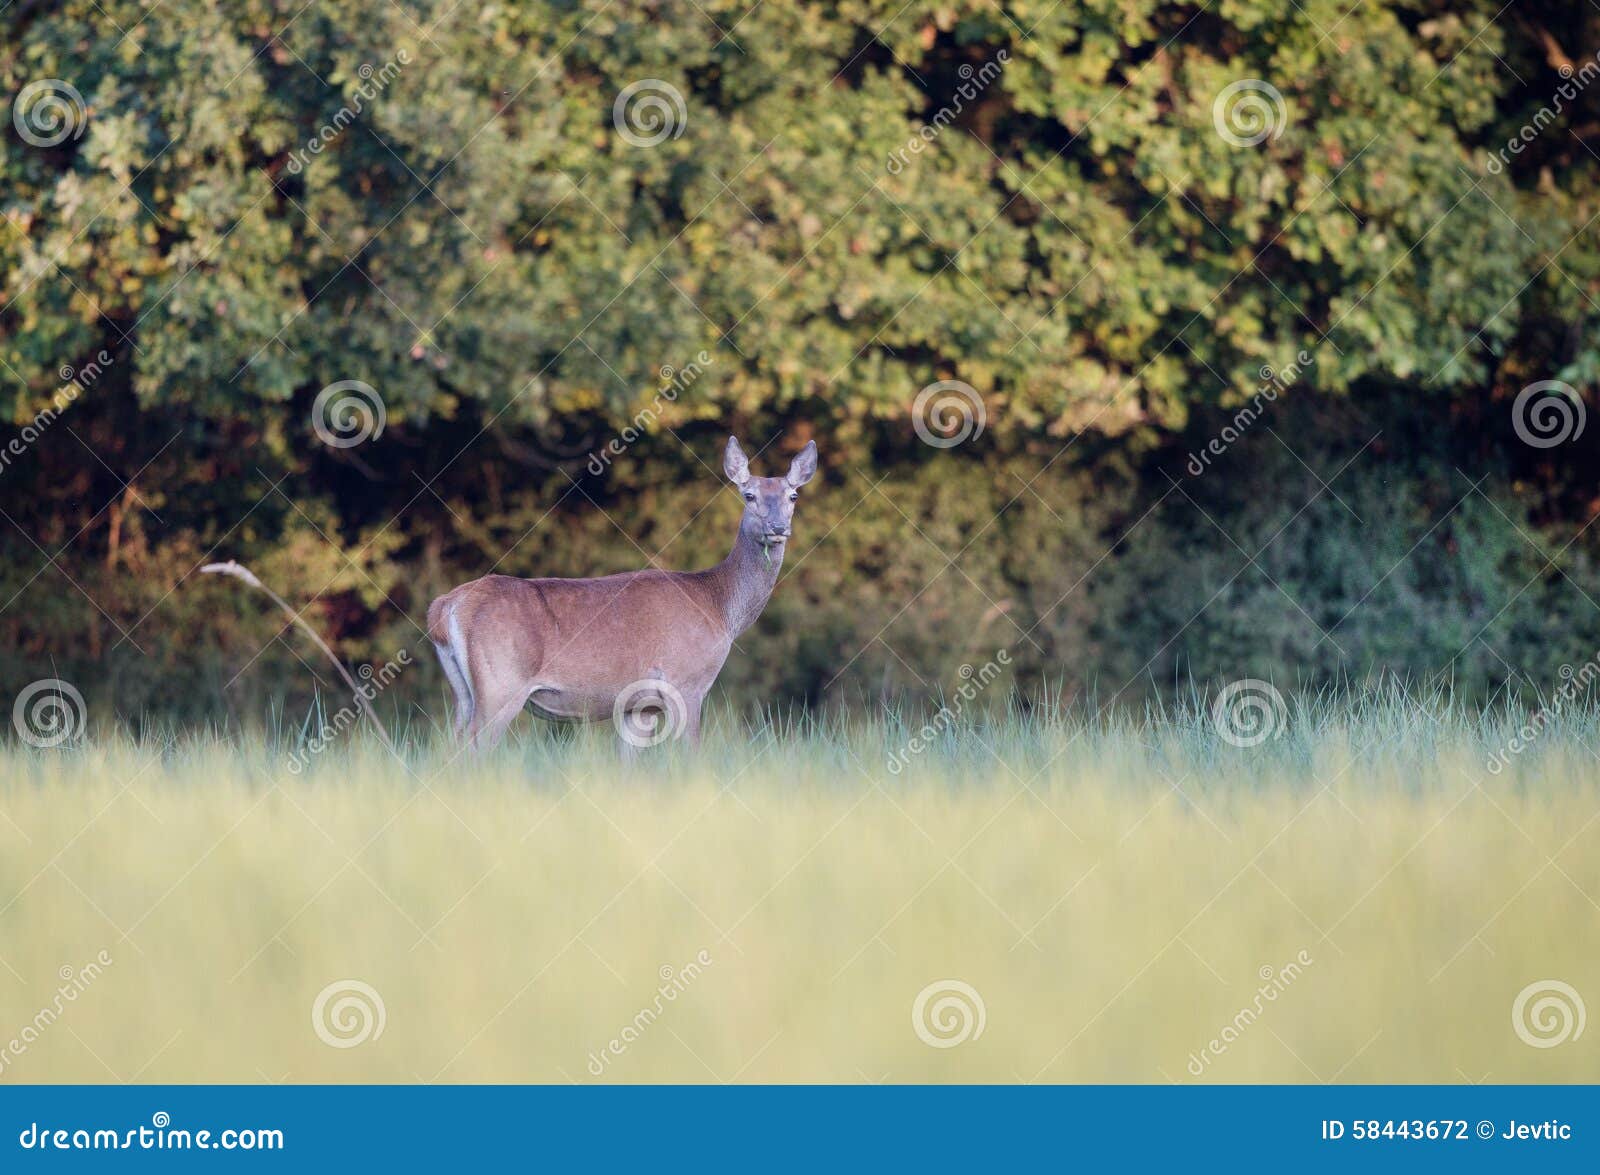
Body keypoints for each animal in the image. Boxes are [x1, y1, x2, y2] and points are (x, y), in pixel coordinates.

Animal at [426, 436, 818, 751]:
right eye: (749, 495)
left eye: (793, 495)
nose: (778, 527)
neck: (719, 607)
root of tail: (446, 607)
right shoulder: (687, 682)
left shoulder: (637, 705)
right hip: (501, 682)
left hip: (463, 692)